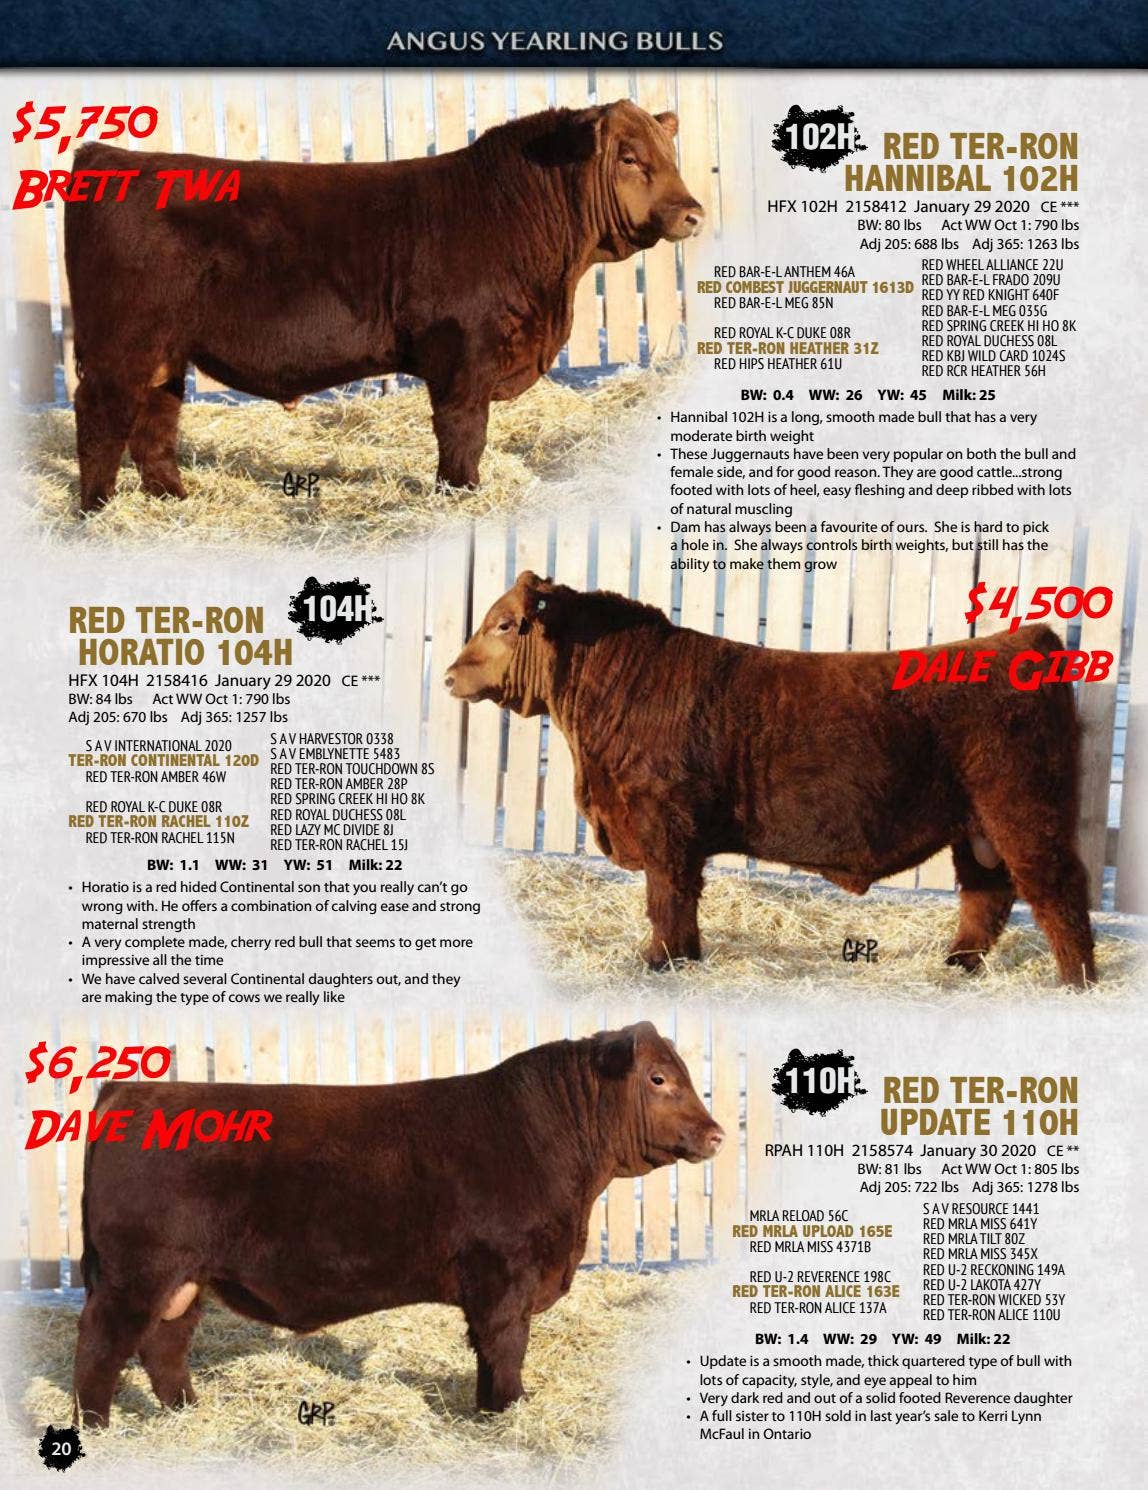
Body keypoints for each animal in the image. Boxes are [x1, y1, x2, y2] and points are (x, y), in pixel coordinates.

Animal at [62, 102, 703, 514]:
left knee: (154, 420)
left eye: (670, 152)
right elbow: (463, 431)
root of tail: (107, 156)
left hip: (163, 351)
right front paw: (461, 493)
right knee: (101, 416)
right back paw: (97, 510)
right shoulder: (464, 355)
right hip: (120, 343)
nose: (692, 212)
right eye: (628, 157)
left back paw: (171, 500)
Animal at [73, 1022, 722, 1427]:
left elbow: (488, 1353)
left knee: (164, 1344)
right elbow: (506, 1348)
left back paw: (186, 1410)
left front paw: (486, 1411)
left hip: (184, 1278)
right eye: (659, 1079)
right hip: (136, 1272)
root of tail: (130, 1092)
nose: (716, 1135)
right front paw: (509, 1411)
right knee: (102, 1345)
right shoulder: (505, 1277)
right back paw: (97, 1428)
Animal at [445, 572, 1097, 987]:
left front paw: (657, 962)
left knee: (1058, 891)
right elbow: (685, 901)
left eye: (504, 624)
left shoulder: (664, 825)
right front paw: (686, 958)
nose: (450, 675)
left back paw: (1075, 982)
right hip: (977, 827)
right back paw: (956, 966)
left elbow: (665, 899)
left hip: (1025, 812)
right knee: (986, 894)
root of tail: (1025, 638)